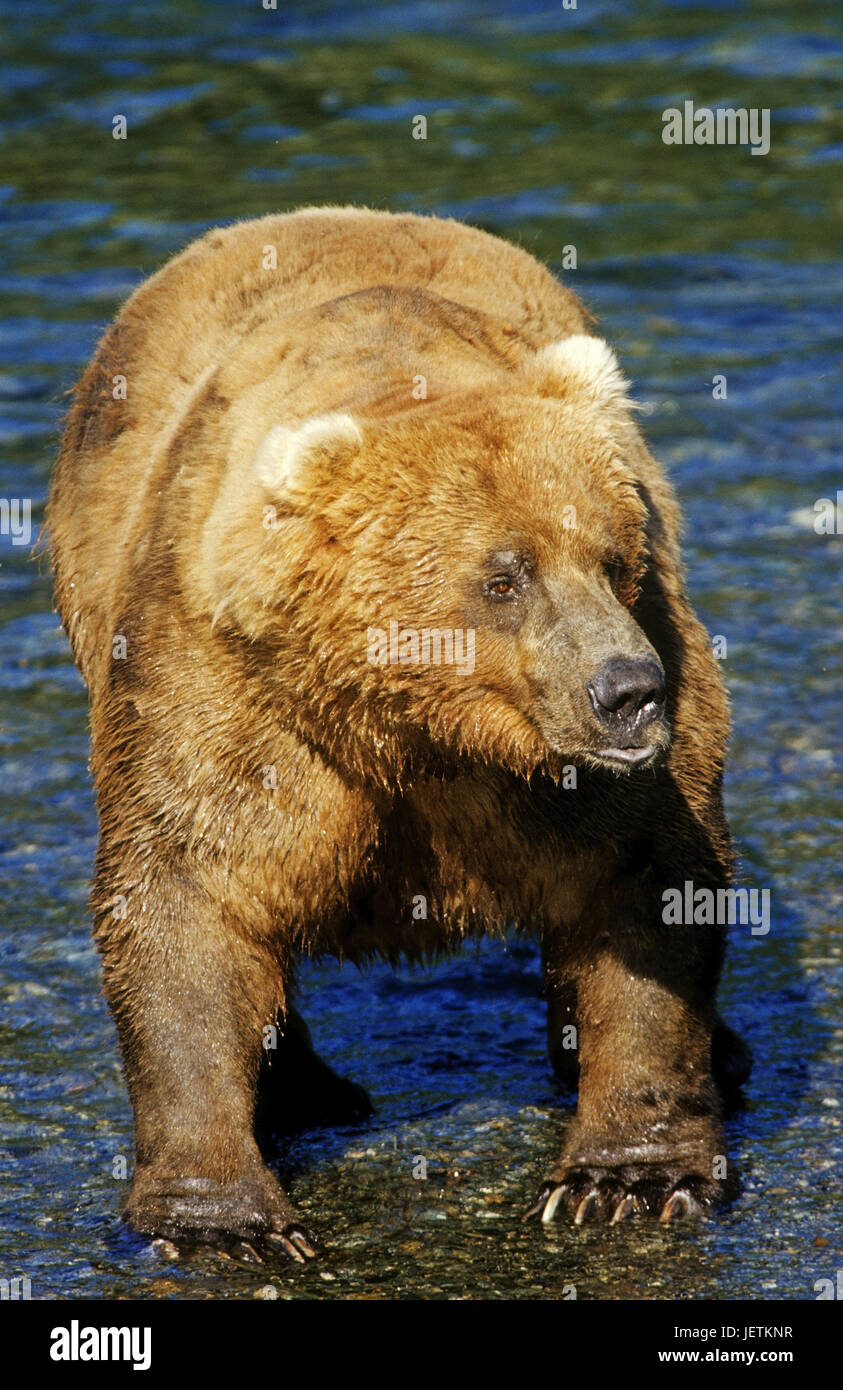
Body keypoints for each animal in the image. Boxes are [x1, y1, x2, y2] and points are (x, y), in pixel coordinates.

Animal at [46, 206, 750, 1261]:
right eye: (503, 576)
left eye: (610, 556)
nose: (628, 690)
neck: (419, 726)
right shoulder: (228, 684)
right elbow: (187, 893)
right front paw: (225, 1221)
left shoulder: (618, 725)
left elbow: (650, 877)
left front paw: (625, 1177)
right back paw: (302, 1088)